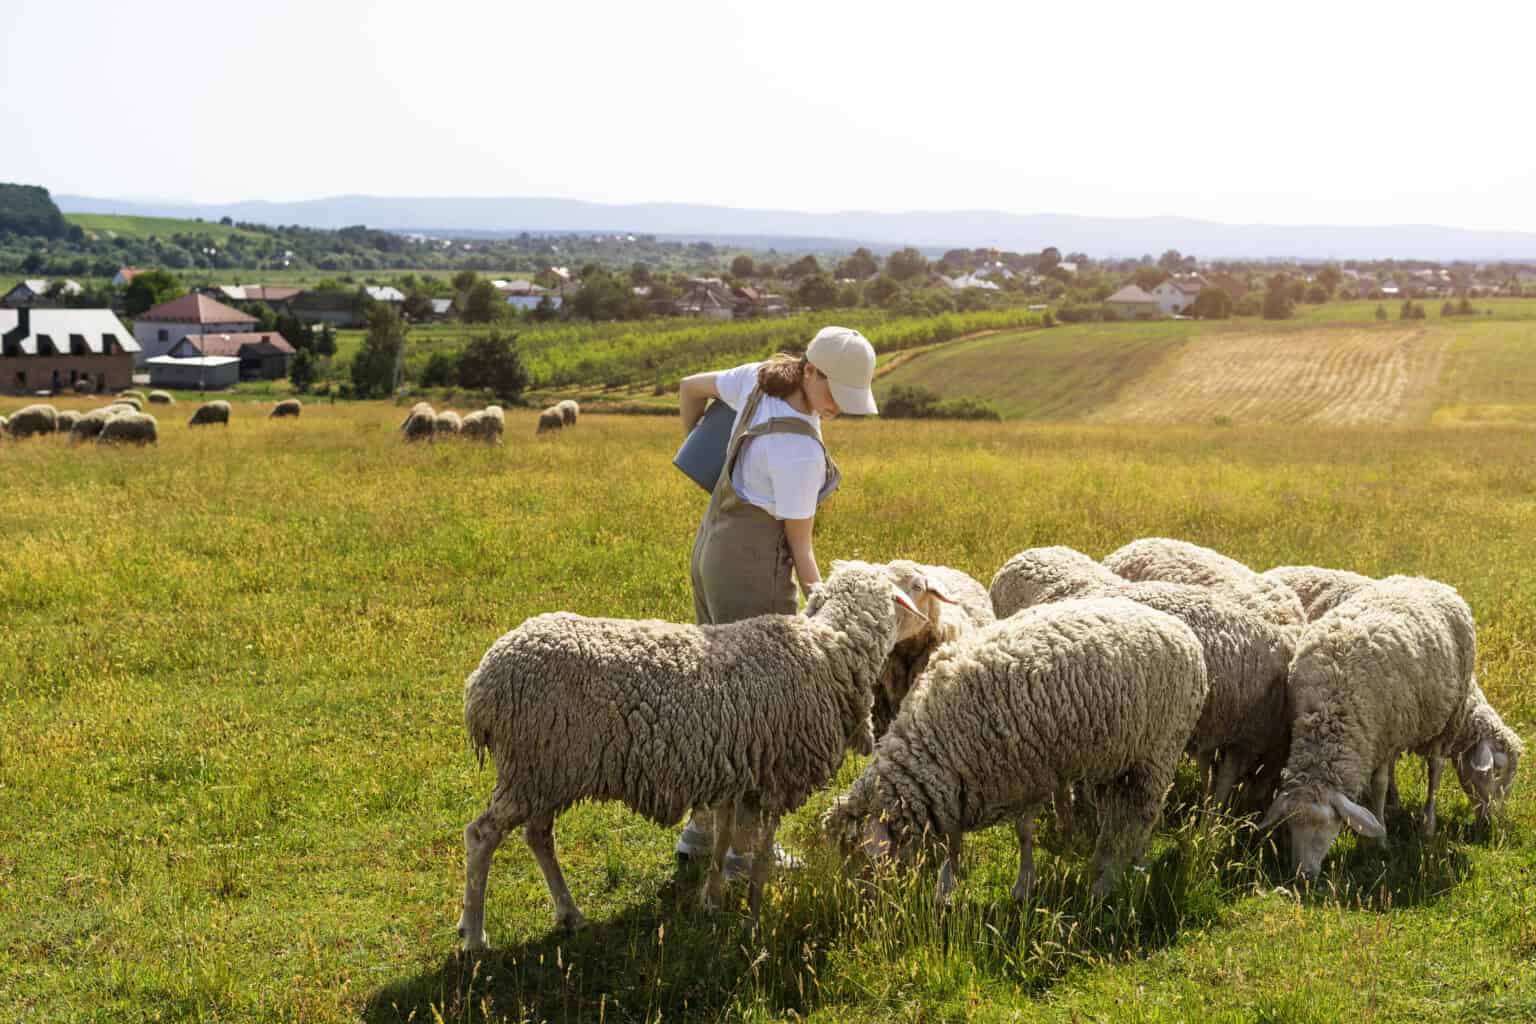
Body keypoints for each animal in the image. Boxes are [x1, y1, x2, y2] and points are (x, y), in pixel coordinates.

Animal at [456, 560, 930, 948]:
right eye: (913, 587)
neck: (830, 649)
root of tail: (480, 683)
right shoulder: (777, 777)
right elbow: (759, 854)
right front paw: (754, 918)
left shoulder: (737, 770)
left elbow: (721, 840)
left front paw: (712, 900)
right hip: (533, 767)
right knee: (482, 836)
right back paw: (474, 934)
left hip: (545, 769)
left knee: (538, 836)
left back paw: (570, 914)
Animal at [826, 596, 1209, 906]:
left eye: (857, 856)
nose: (857, 904)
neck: (936, 742)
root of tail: (1185, 633)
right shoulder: (957, 787)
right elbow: (954, 840)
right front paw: (946, 890)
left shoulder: (1028, 773)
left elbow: (1023, 832)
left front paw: (1023, 886)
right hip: (1118, 758)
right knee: (1119, 815)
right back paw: (1113, 862)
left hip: (1159, 750)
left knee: (1143, 814)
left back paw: (1111, 881)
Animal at [1259, 576, 1476, 877]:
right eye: (1290, 826)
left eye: (1327, 828)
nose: (1303, 876)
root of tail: (1427, 580)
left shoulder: (1384, 735)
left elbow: (1379, 785)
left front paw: (1380, 838)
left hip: (1449, 717)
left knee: (1436, 768)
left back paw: (1428, 825)